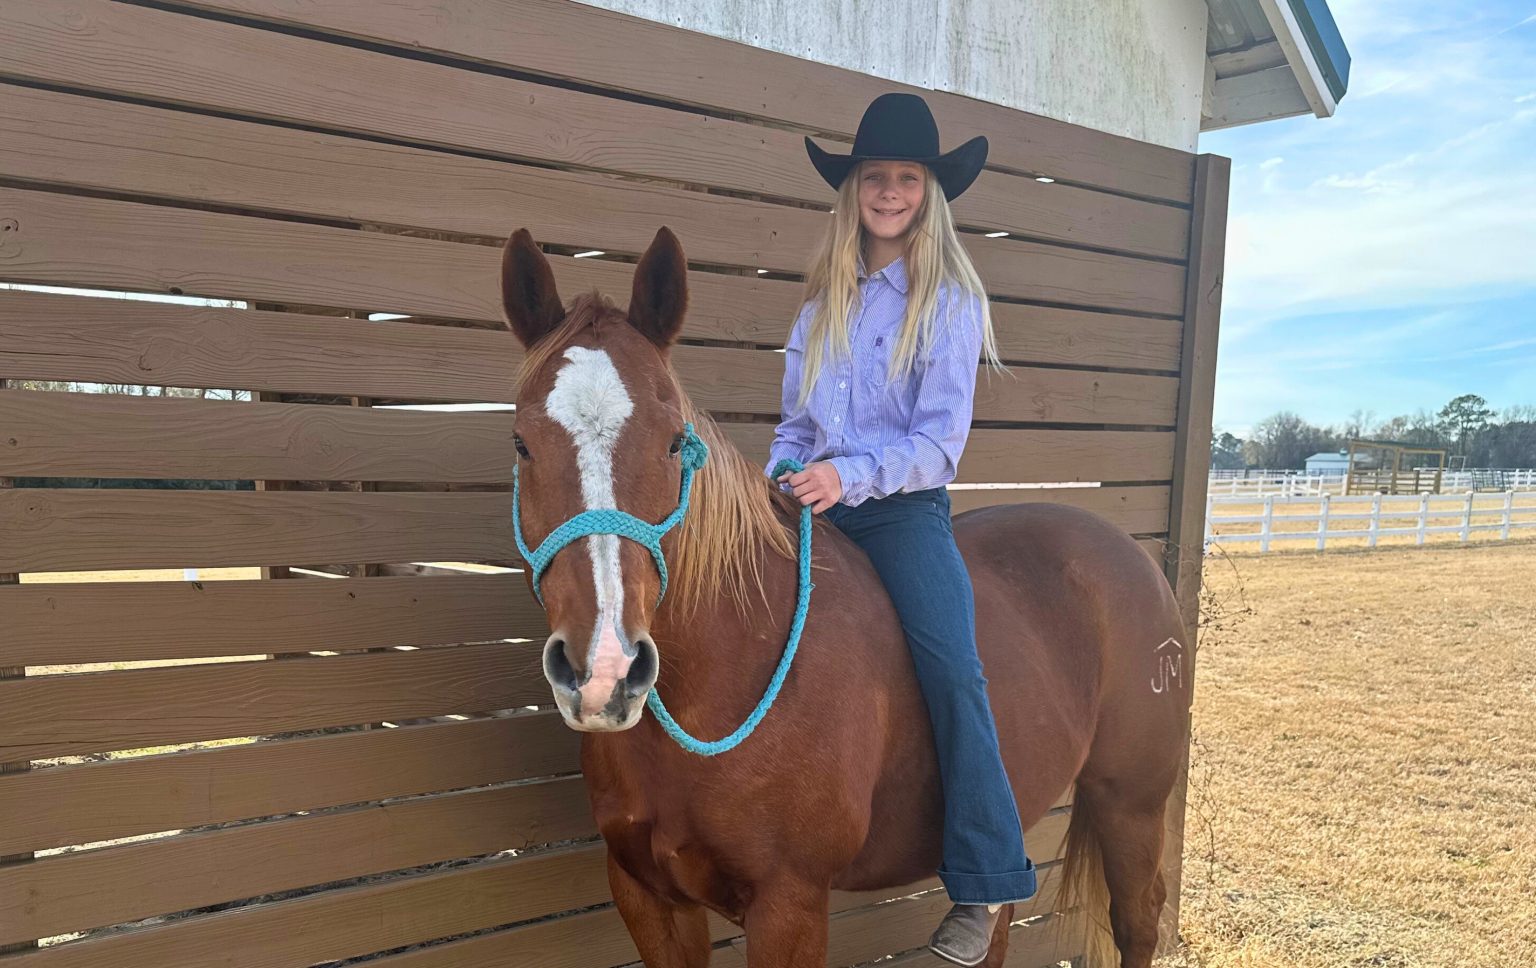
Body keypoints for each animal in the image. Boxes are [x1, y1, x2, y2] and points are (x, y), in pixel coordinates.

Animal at [499, 225, 1190, 967]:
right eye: (522, 443)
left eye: (674, 443)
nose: (604, 670)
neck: (725, 671)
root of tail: (1135, 559)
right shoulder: (646, 896)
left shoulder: (790, 904)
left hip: (1131, 805)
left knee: (1137, 922)